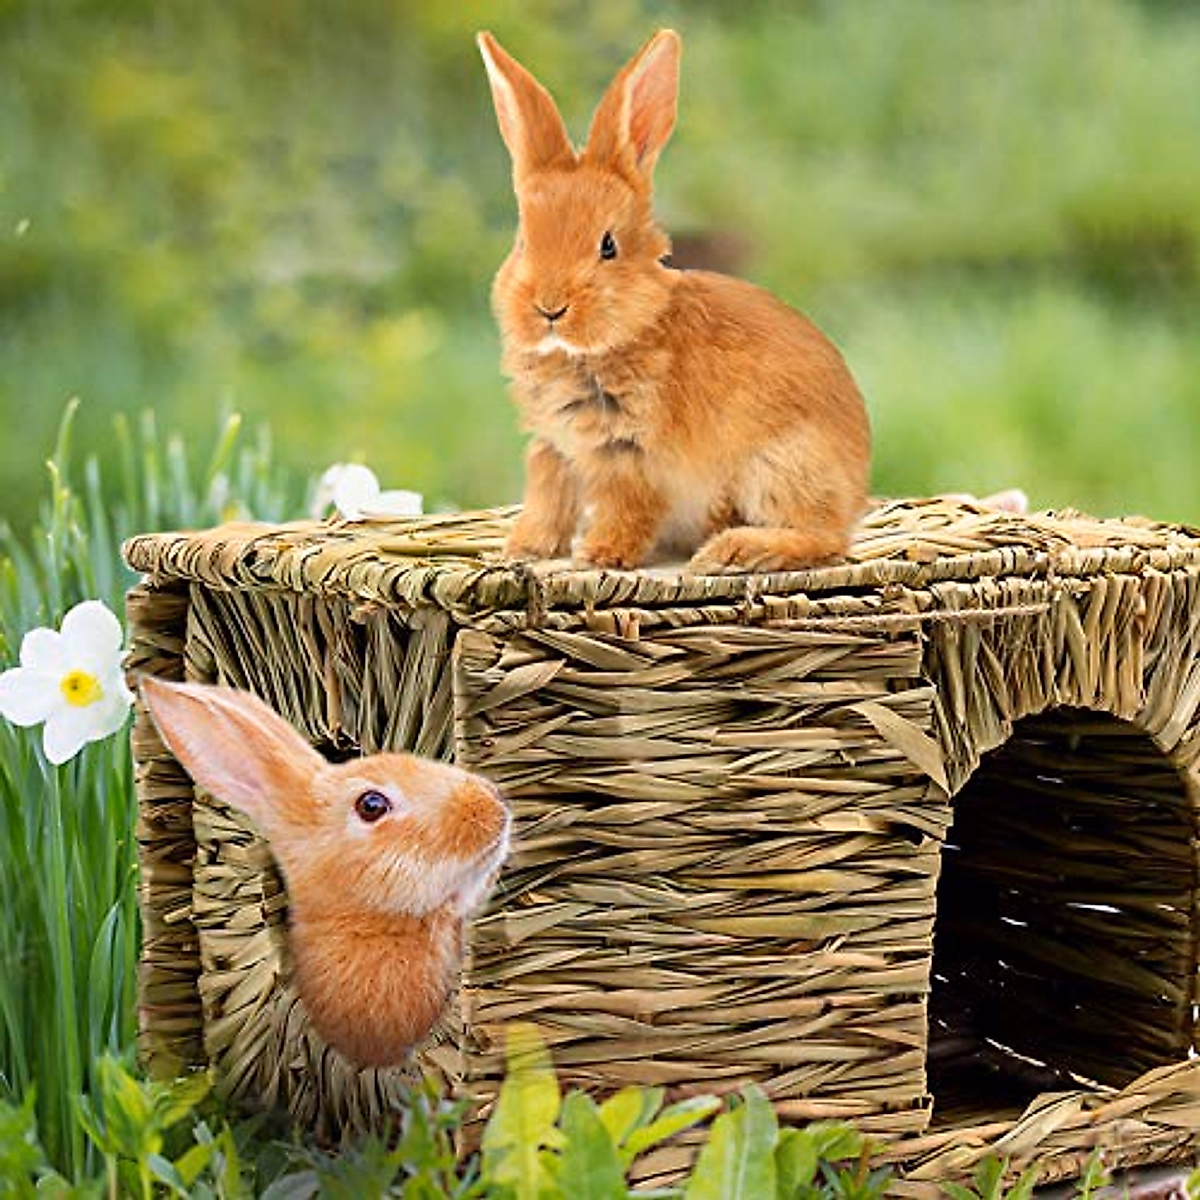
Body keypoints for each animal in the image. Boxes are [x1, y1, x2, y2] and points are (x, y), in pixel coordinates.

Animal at [477, 28, 871, 573]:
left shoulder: (633, 455)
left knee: (824, 539)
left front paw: (599, 555)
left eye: (607, 246)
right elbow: (546, 494)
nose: (549, 308)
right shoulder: (554, 447)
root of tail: (856, 491)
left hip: (779, 467)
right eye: (521, 243)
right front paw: (526, 548)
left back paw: (734, 549)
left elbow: (627, 504)